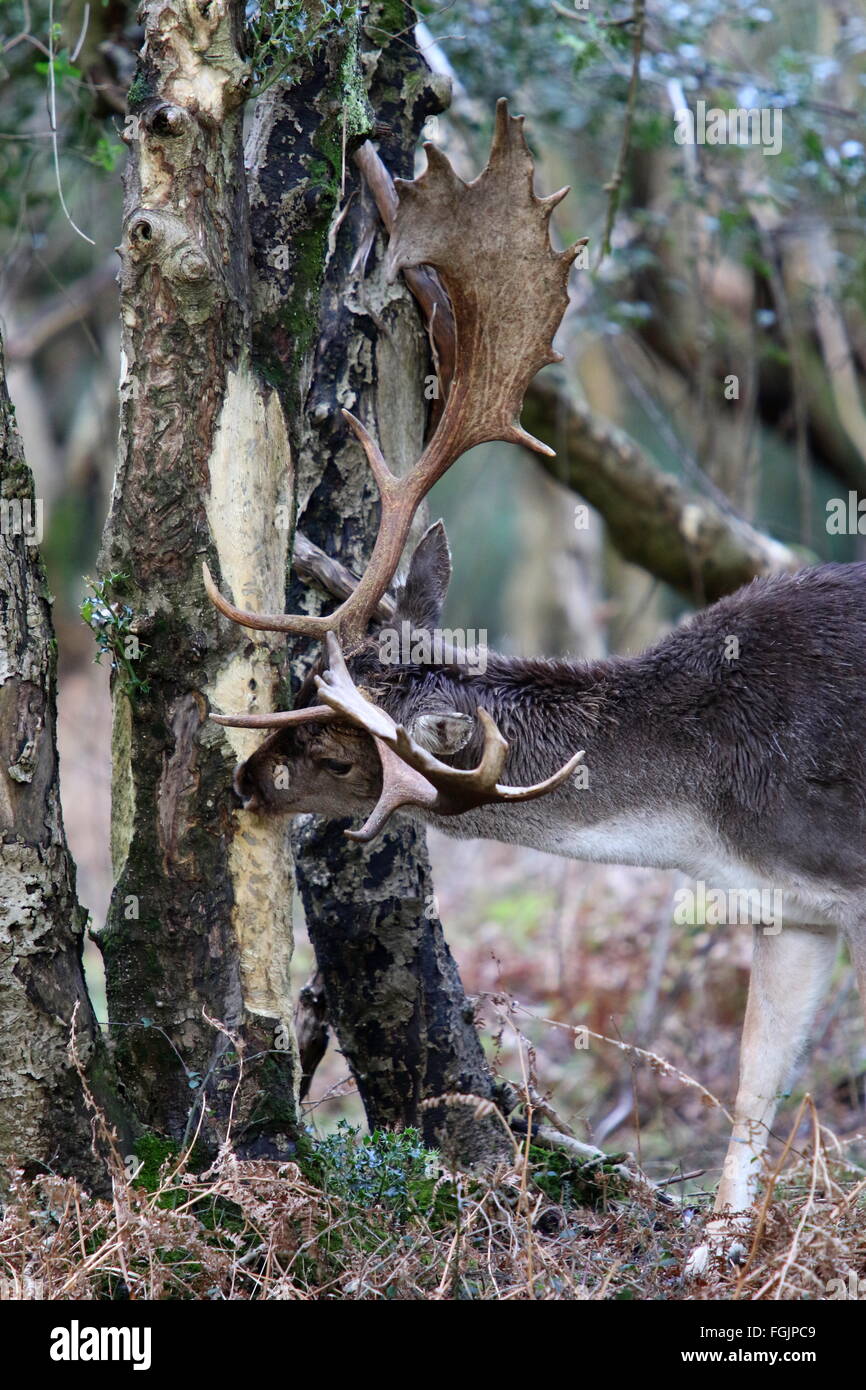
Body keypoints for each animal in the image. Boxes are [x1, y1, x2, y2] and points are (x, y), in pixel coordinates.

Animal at [203, 101, 866, 1274]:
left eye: (331, 746)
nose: (245, 781)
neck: (721, 804)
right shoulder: (796, 907)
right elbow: (755, 1081)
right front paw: (711, 1257)